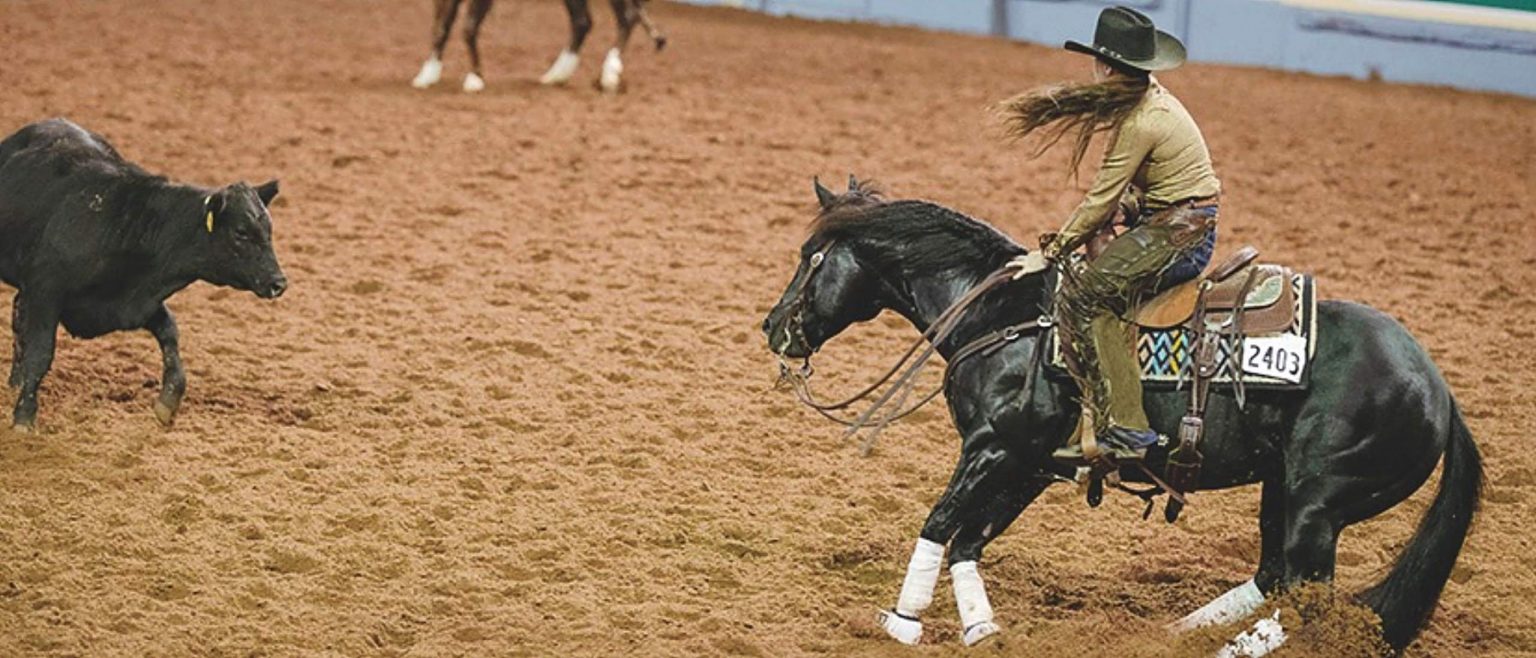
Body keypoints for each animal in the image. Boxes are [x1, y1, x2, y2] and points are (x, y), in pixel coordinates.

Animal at [410, 0, 666, 93]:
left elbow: (468, 28)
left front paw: (475, 78)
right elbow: (440, 28)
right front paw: (427, 75)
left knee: (628, 17)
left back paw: (610, 74)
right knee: (582, 22)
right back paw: (556, 75)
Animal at [760, 178, 1481, 654]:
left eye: (810, 258)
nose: (773, 327)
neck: (1006, 317)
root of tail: (1439, 391)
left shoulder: (994, 448)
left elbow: (940, 523)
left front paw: (903, 620)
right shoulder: (1029, 464)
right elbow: (971, 538)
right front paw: (980, 625)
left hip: (1319, 503)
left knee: (1304, 596)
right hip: (1284, 490)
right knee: (1274, 577)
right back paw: (1178, 633)